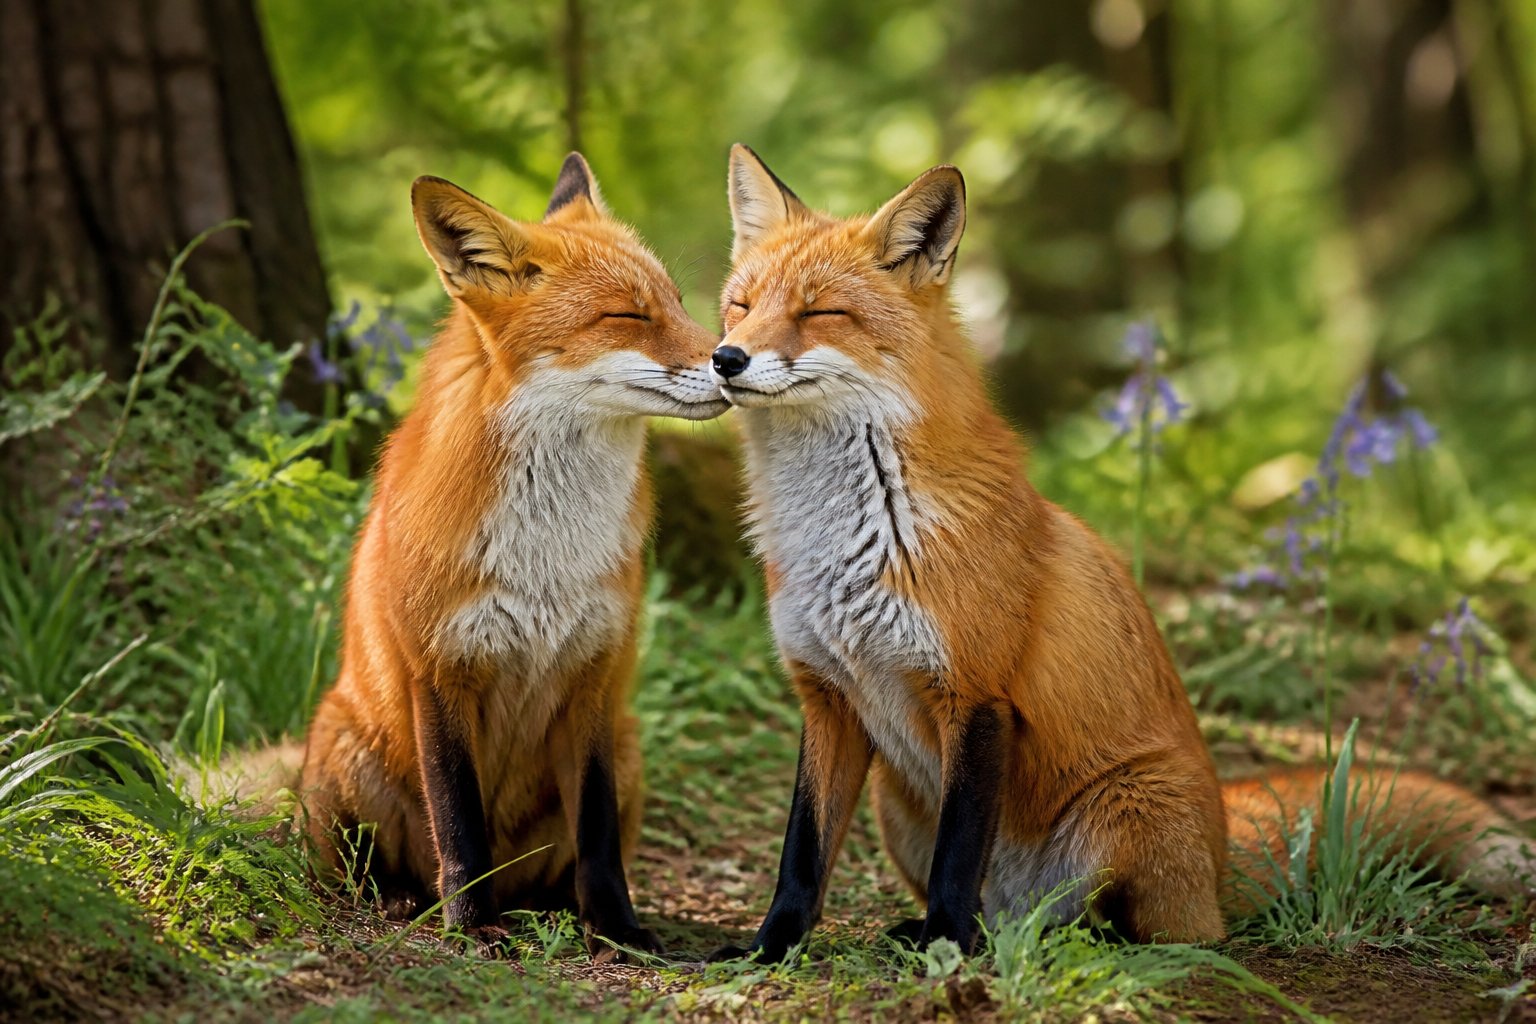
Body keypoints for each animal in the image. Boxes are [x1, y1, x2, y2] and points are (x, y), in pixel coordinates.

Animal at [298, 153, 726, 959]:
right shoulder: (441, 670)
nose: (731, 359)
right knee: (363, 868)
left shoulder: (593, 677)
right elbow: (459, 821)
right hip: (343, 751)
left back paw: (553, 910)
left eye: (680, 302)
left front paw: (615, 929)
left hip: (629, 744)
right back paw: (403, 899)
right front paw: (470, 924)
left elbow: (597, 834)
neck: (546, 552)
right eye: (628, 316)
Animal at [707, 143, 1535, 961]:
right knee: (1018, 918)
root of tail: (1220, 857)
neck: (856, 531)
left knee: (1145, 933)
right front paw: (769, 949)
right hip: (895, 798)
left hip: (1124, 812)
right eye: (741, 305)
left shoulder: (978, 694)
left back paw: (1027, 944)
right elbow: (803, 853)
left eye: (820, 312)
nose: (725, 358)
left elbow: (956, 857)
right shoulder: (827, 695)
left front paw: (944, 948)